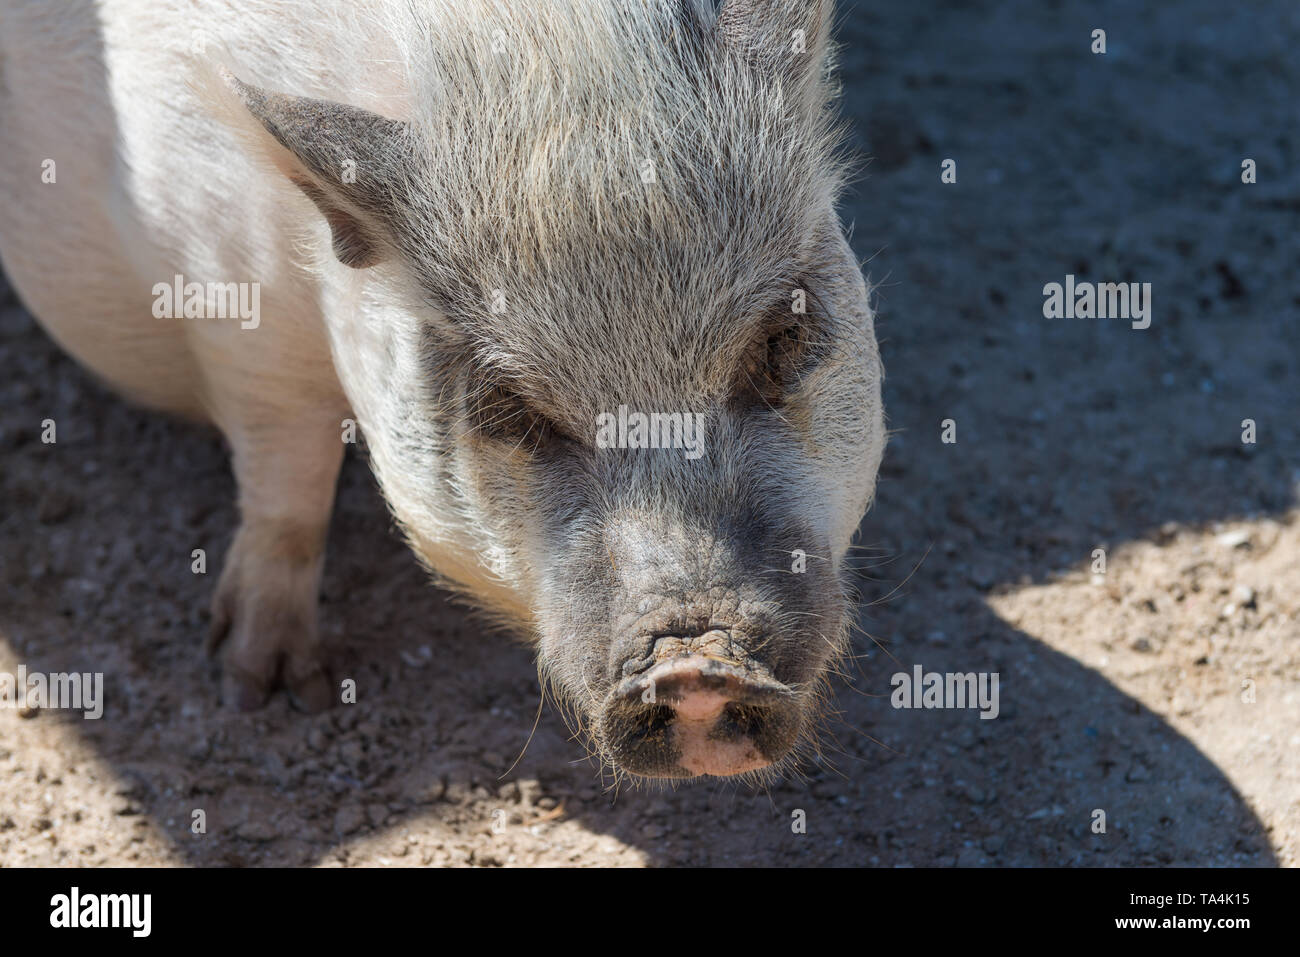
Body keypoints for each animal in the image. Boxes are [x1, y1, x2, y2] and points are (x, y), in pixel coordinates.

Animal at [0, 0, 886, 780]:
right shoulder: (229, 304)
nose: (697, 665)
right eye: (512, 404)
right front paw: (265, 688)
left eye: (777, 340)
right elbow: (287, 474)